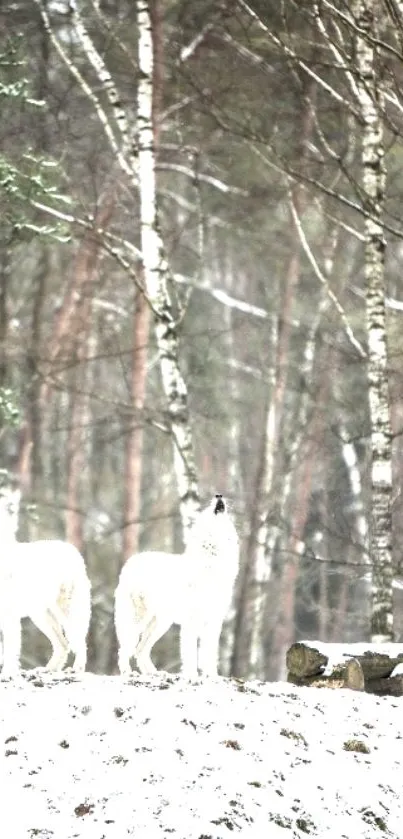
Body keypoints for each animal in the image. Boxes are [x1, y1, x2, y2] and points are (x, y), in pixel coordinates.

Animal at [0, 488, 91, 676]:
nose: (12, 509)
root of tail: (73, 550)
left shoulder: (9, 615)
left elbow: (10, 650)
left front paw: (7, 673)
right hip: (42, 617)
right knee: (63, 644)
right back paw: (47, 670)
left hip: (66, 613)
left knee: (79, 642)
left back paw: (76, 669)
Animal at [114, 494, 239, 677]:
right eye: (206, 513)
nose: (218, 495)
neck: (211, 565)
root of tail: (131, 562)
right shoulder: (192, 622)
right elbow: (191, 654)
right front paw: (192, 676)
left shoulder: (214, 622)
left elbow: (209, 655)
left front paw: (212, 676)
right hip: (139, 620)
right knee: (125, 649)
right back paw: (128, 673)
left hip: (160, 625)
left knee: (140, 650)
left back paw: (155, 673)